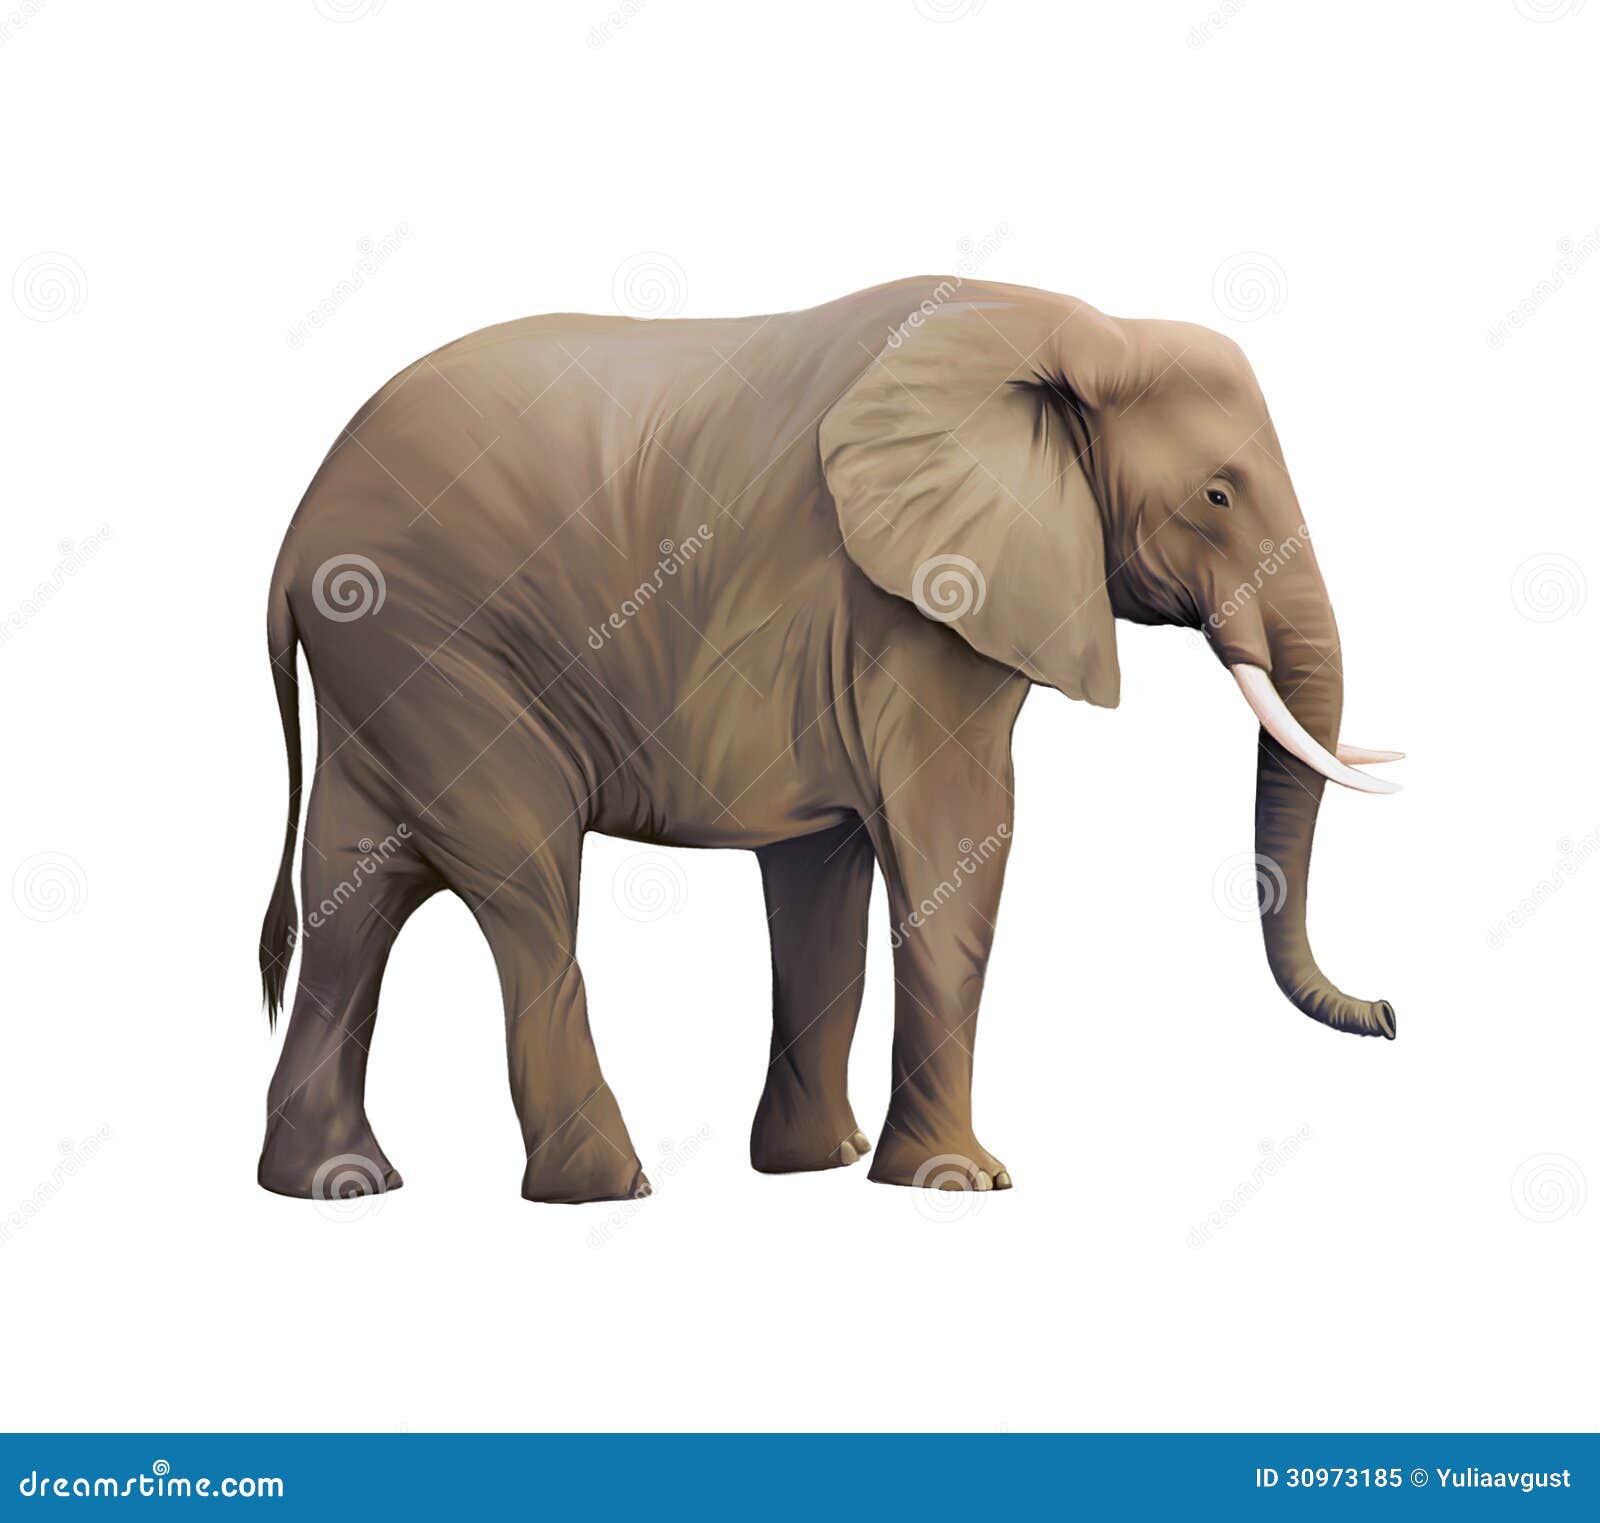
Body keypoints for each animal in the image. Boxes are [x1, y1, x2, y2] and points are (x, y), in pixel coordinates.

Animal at [257, 275, 1401, 1205]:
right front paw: (962, 1183)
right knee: (526, 879)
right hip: (437, 646)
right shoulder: (907, 604)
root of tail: (295, 539)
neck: (1066, 328)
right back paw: (606, 1187)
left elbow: (822, 871)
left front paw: (820, 1165)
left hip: (381, 670)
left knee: (354, 892)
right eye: (1216, 494)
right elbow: (959, 841)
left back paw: (335, 1186)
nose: (1388, 1013)